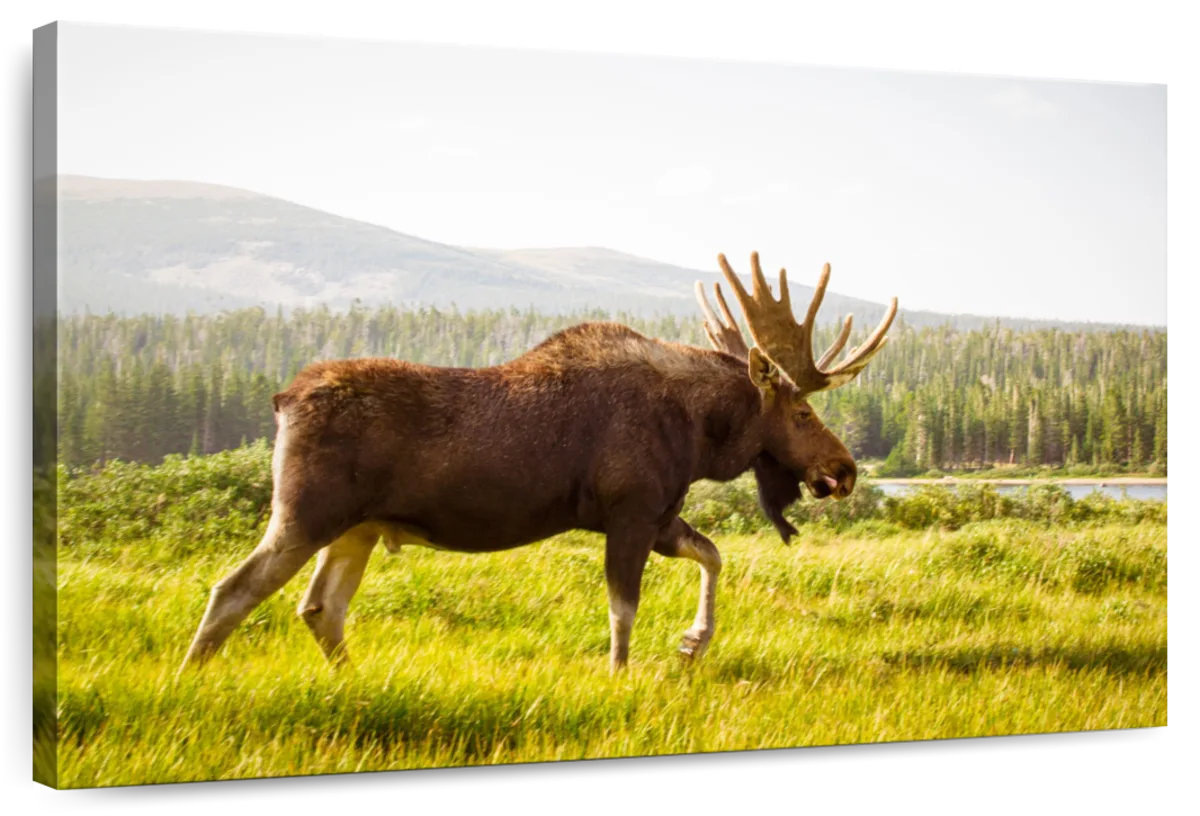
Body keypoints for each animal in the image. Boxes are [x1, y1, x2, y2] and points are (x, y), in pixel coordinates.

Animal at [180, 253, 897, 672]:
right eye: (801, 412)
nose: (846, 468)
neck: (700, 434)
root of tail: (282, 400)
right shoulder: (631, 511)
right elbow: (623, 611)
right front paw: (621, 677)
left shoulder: (659, 516)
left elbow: (713, 554)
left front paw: (693, 641)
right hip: (305, 512)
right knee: (231, 591)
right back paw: (191, 680)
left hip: (355, 527)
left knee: (320, 608)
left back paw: (349, 683)